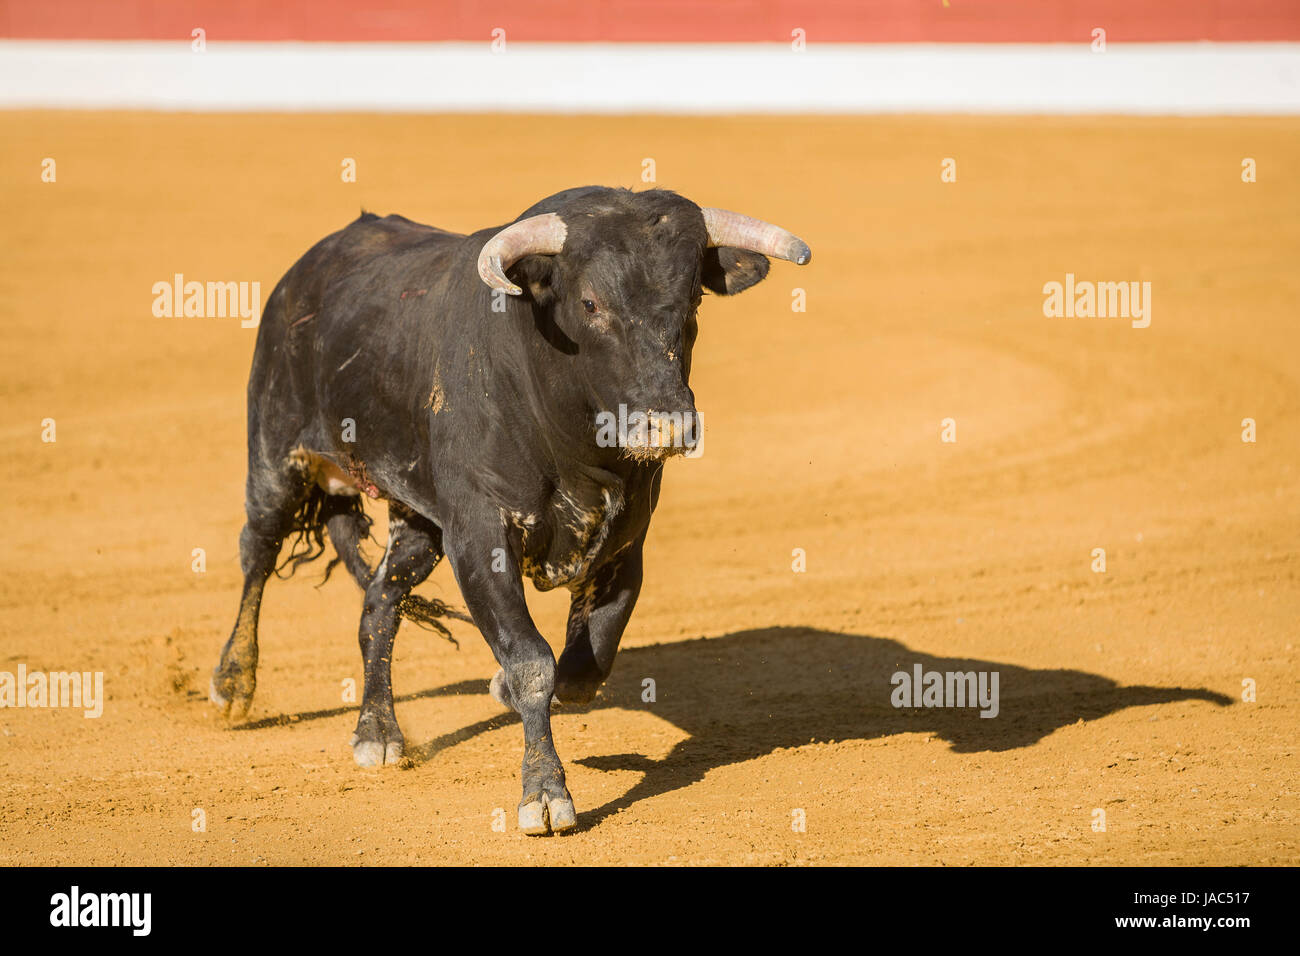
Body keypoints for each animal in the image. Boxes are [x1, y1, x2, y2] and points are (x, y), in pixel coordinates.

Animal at [209, 186, 811, 834]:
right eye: (590, 301)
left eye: (694, 297)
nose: (667, 424)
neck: (577, 450)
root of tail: (311, 265)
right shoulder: (481, 537)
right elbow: (532, 661)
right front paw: (544, 795)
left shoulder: (624, 544)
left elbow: (583, 669)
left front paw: (502, 690)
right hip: (275, 461)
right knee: (257, 554)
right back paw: (232, 685)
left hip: (420, 523)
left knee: (378, 603)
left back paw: (377, 733)